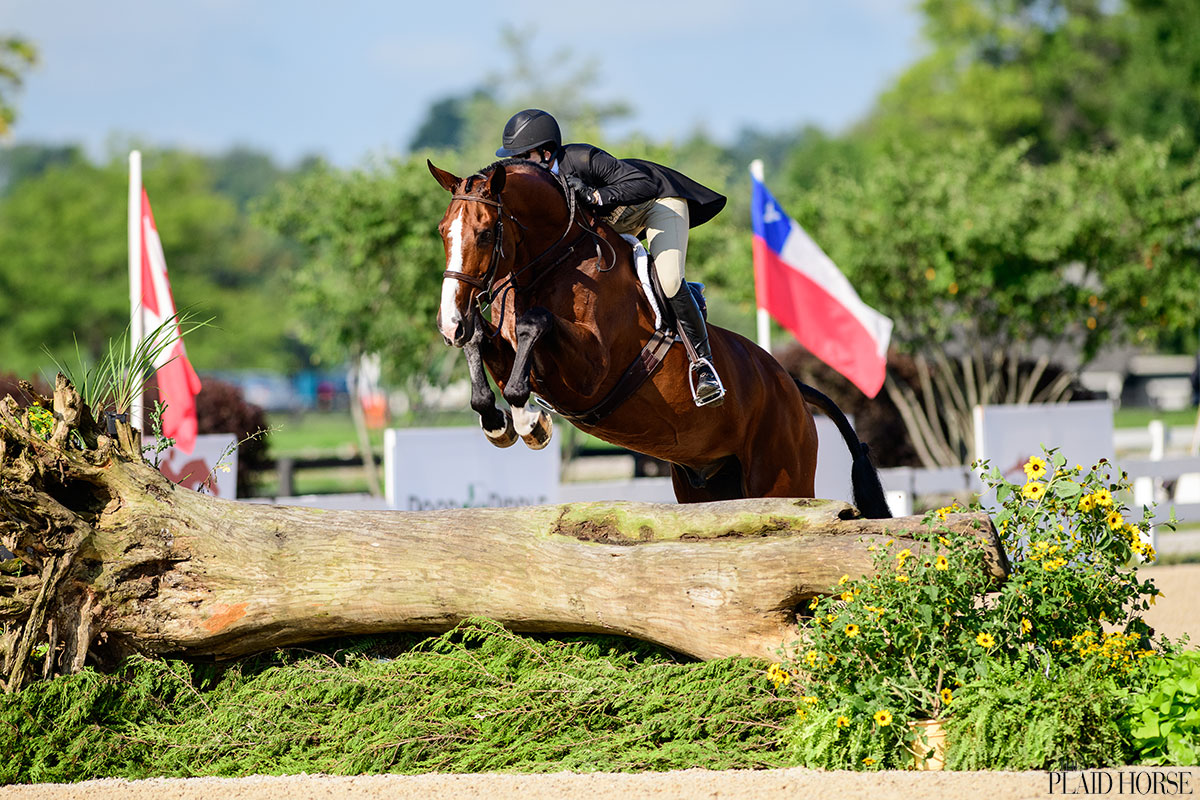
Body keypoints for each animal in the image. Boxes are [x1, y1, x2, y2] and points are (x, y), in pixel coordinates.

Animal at [427, 158, 891, 517]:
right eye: (442, 230)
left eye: (486, 233)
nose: (449, 324)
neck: (553, 261)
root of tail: (791, 386)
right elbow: (483, 341)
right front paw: (495, 418)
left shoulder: (591, 373)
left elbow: (535, 325)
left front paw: (528, 419)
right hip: (709, 484)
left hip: (781, 477)